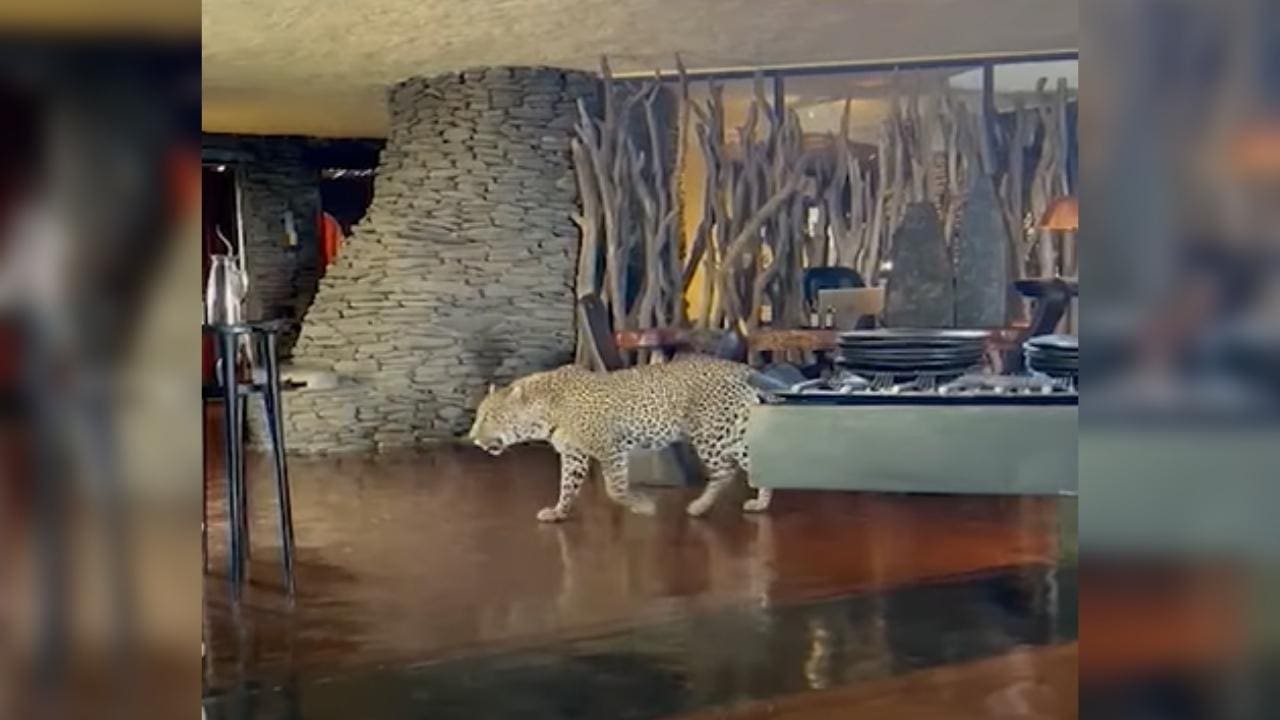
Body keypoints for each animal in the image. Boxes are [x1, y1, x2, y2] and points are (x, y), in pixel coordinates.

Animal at [467, 354, 775, 522]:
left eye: (489, 417)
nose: (472, 439)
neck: (545, 410)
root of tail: (743, 368)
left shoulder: (610, 448)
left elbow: (614, 489)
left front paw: (644, 506)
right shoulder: (574, 454)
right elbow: (567, 486)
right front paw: (558, 512)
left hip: (712, 435)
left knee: (725, 472)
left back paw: (700, 507)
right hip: (735, 431)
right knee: (756, 462)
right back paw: (760, 503)